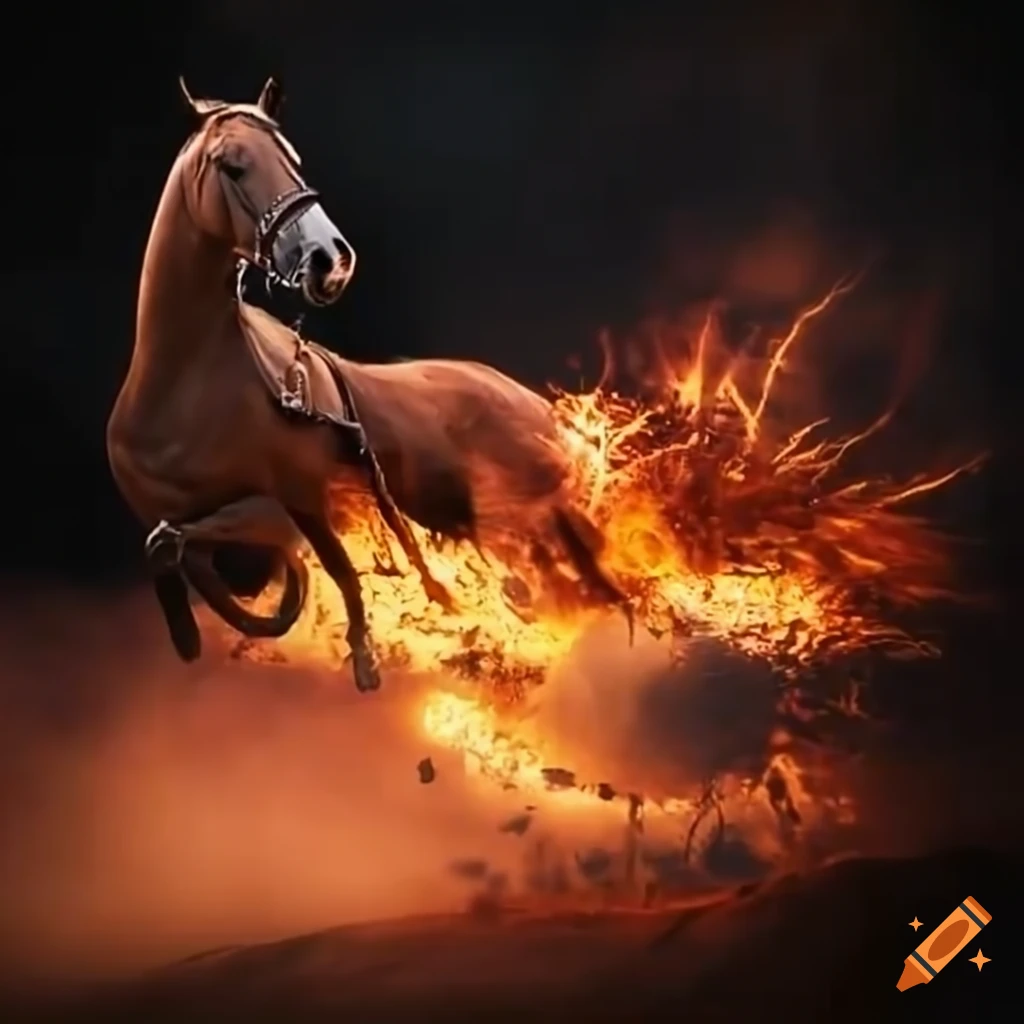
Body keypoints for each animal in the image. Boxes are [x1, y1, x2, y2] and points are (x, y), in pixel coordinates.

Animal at [107, 77, 631, 693]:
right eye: (233, 166)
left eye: (292, 160)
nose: (330, 261)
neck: (184, 387)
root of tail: (535, 405)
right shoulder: (192, 515)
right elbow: (171, 547)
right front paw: (195, 637)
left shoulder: (298, 498)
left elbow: (333, 568)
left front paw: (364, 658)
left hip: (528, 522)